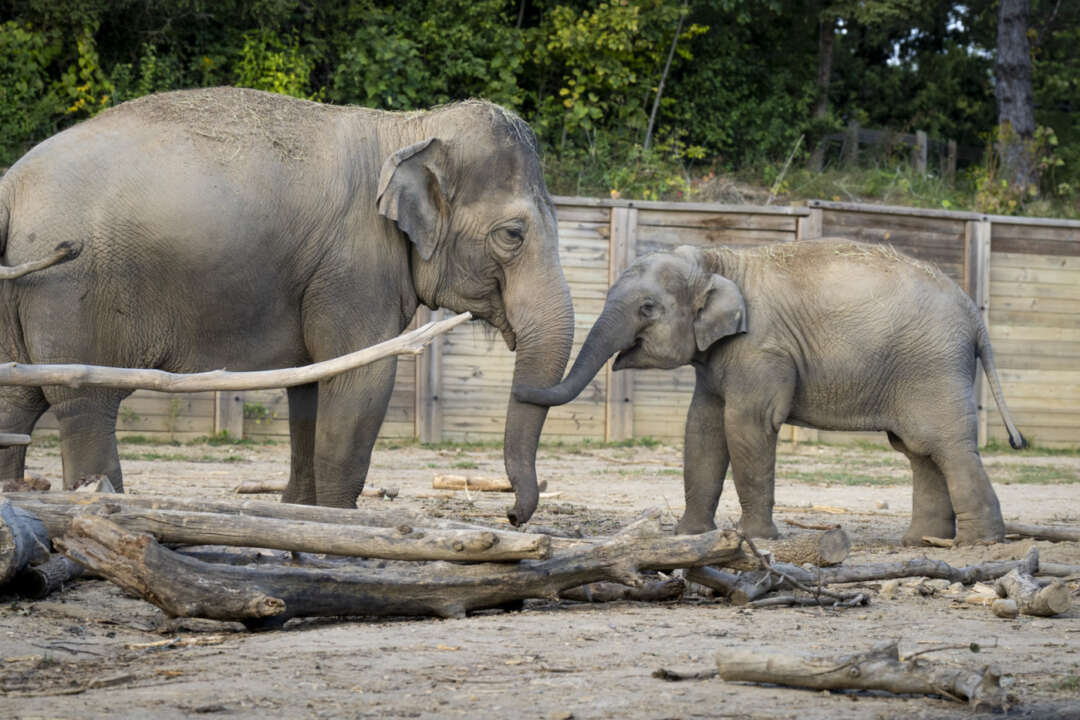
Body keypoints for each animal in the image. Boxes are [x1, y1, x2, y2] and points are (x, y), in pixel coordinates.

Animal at [0, 86, 573, 526]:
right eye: (513, 234)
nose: (512, 515)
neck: (408, 129)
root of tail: (11, 186)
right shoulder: (354, 269)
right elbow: (360, 383)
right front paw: (340, 521)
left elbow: (311, 389)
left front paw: (299, 512)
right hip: (74, 293)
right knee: (85, 403)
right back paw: (108, 509)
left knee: (17, 401)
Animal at [515, 239, 1027, 545]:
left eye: (647, 308)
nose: (515, 519)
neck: (717, 262)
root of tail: (974, 314)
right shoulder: (719, 357)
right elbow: (702, 429)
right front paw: (689, 536)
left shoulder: (759, 349)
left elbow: (746, 426)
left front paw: (758, 540)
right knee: (919, 449)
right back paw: (921, 542)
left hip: (932, 366)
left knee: (946, 444)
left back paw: (978, 544)